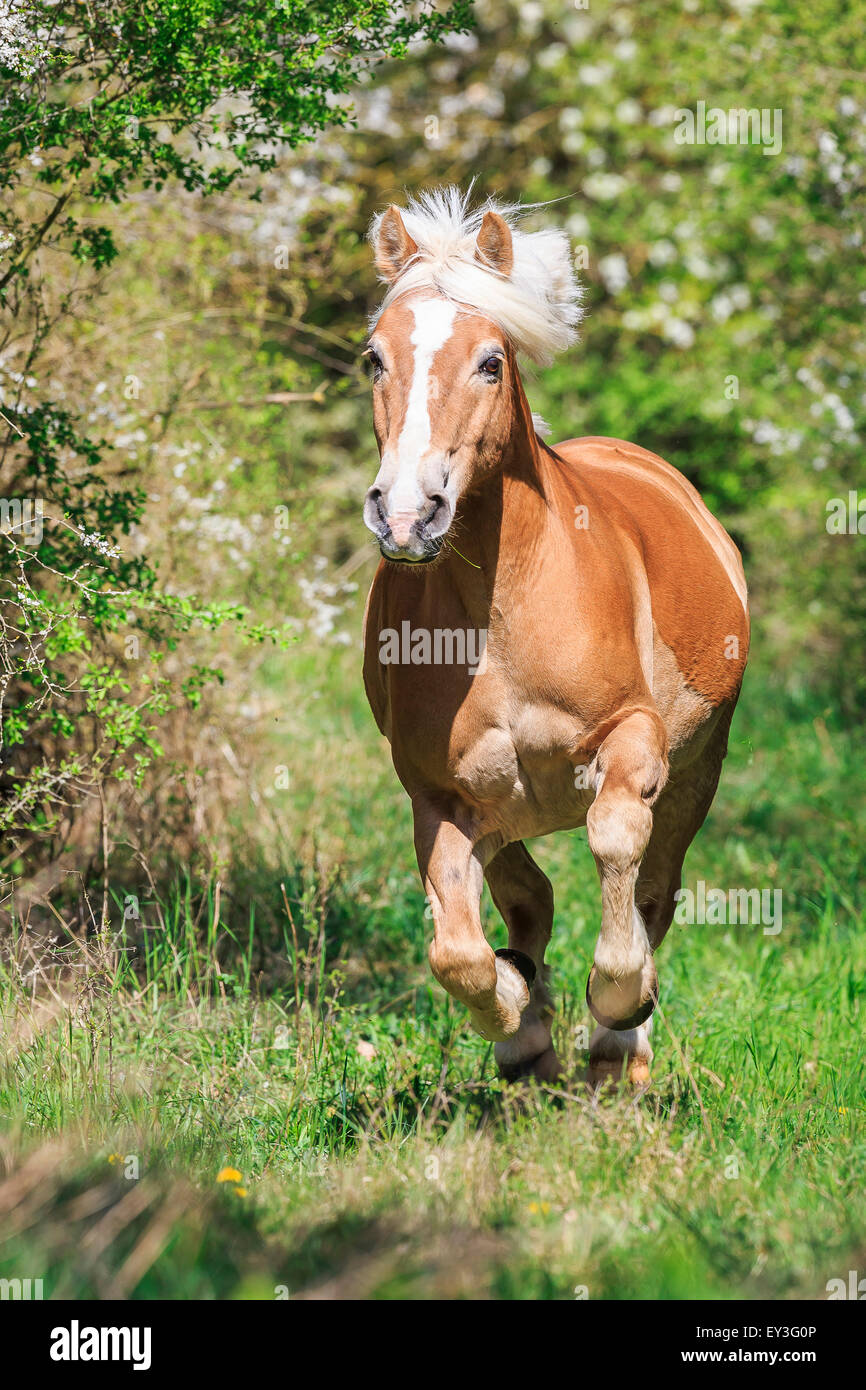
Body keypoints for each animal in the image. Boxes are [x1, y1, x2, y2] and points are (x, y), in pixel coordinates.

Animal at [361, 189, 749, 1087]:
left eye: (489, 363)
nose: (407, 515)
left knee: (655, 888)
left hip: (696, 775)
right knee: (526, 900)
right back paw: (528, 1026)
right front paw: (516, 1013)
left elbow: (617, 844)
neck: (504, 616)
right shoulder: (442, 798)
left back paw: (618, 1047)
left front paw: (619, 1001)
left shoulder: (634, 741)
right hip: (508, 811)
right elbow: (461, 951)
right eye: (374, 360)